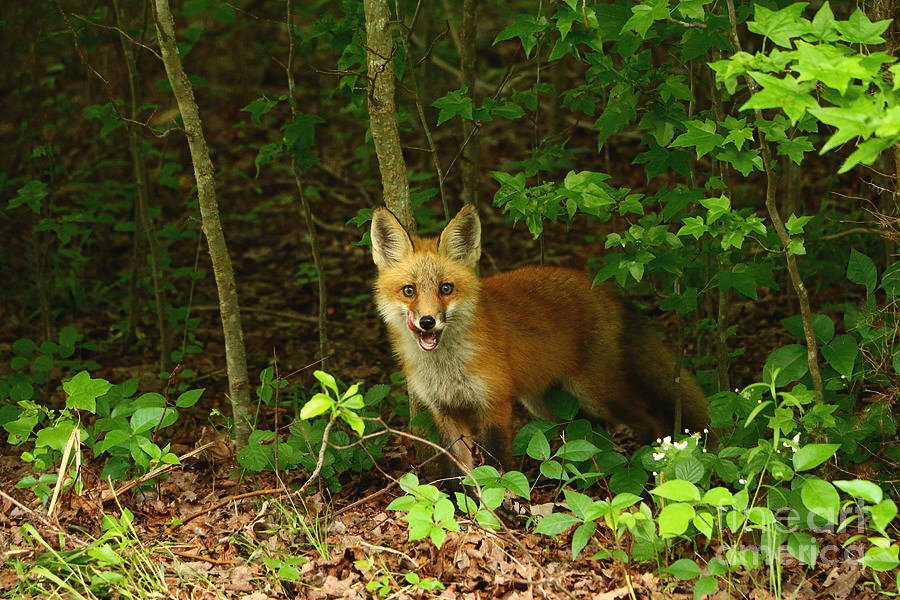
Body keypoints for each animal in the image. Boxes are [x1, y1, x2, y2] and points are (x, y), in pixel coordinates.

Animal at [370, 204, 709, 478]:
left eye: (446, 288)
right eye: (409, 291)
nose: (428, 321)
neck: (446, 367)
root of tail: (601, 288)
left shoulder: (495, 404)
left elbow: (496, 468)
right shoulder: (445, 411)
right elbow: (458, 473)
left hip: (598, 394)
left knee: (650, 420)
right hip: (547, 404)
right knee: (590, 432)